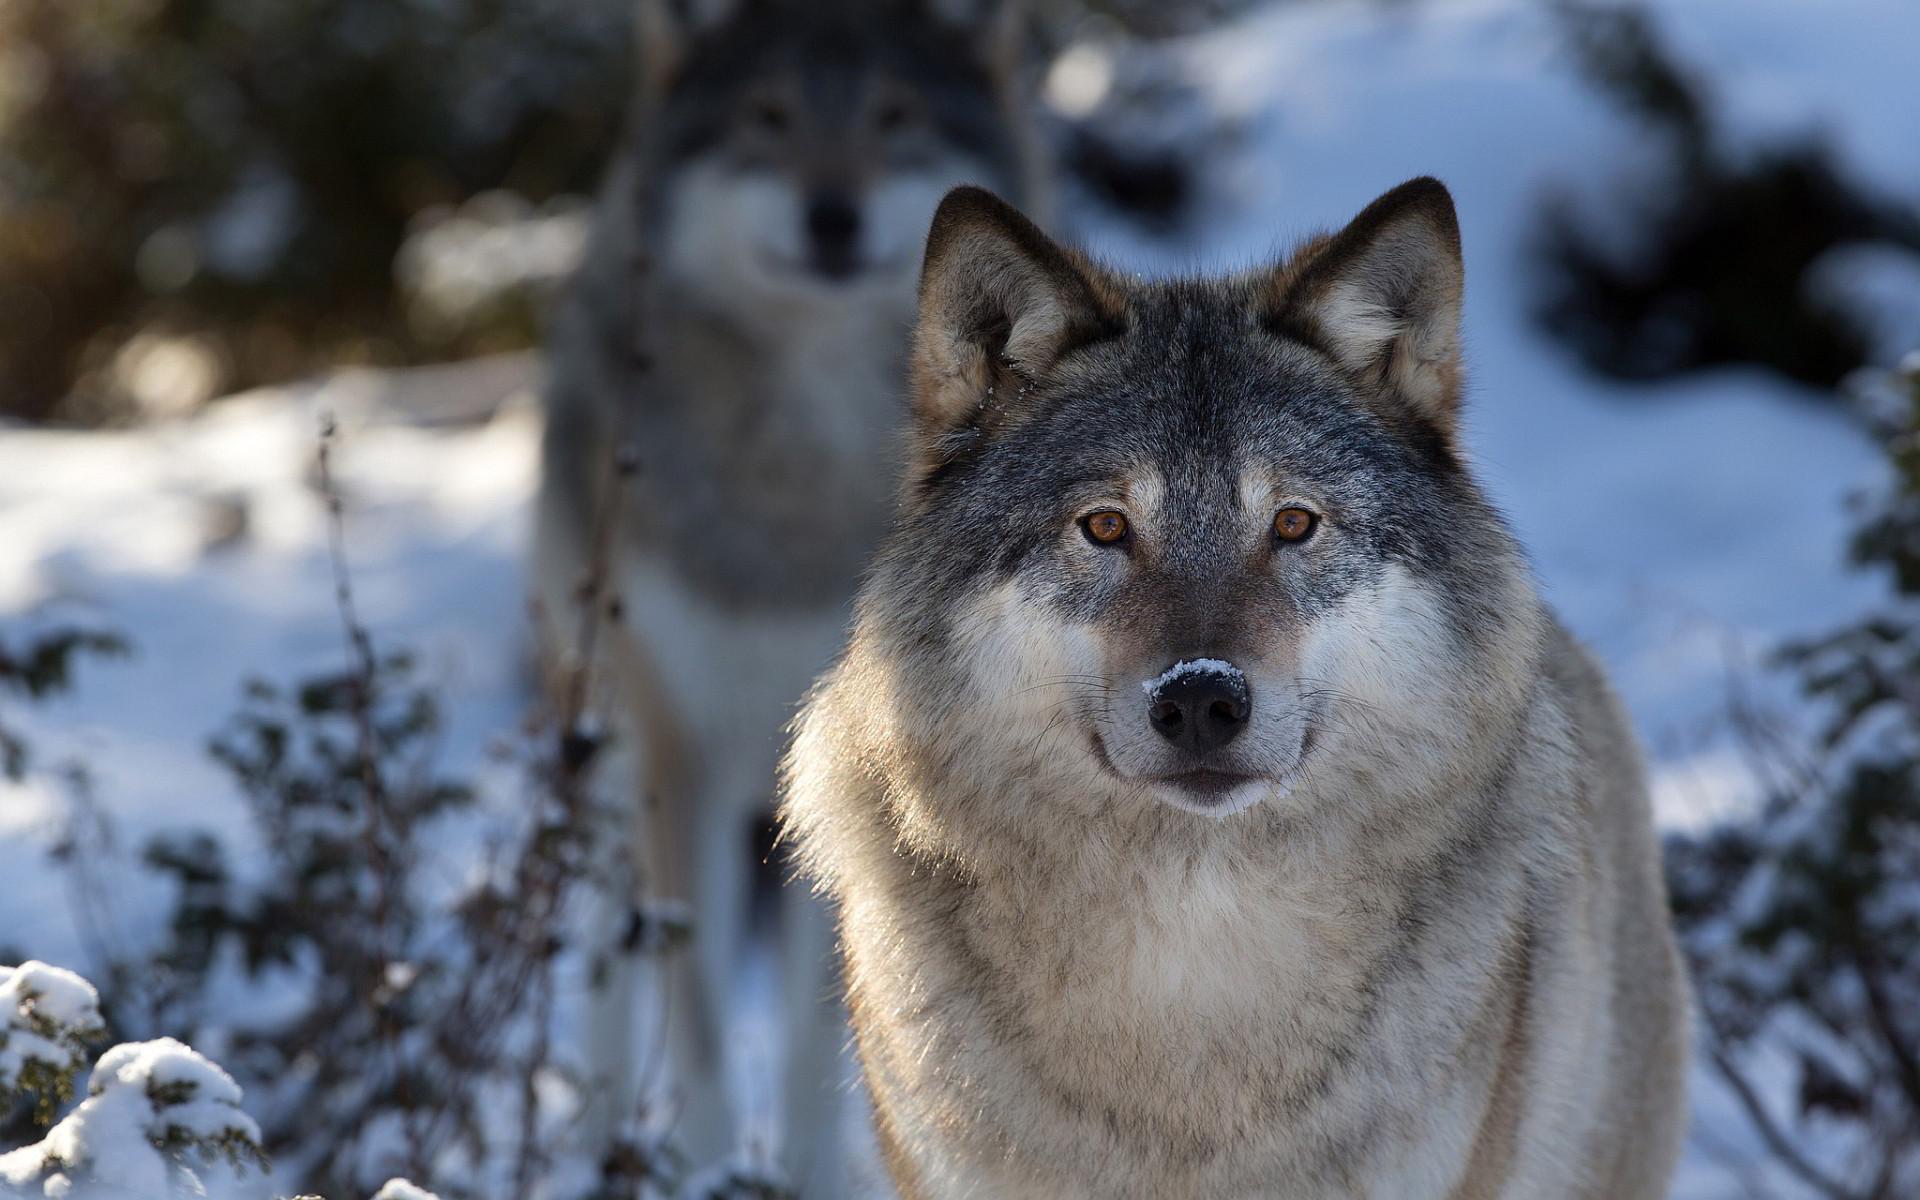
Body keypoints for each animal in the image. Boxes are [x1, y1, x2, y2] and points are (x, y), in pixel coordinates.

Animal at [534, 0, 1045, 1188]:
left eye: (895, 118)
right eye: (767, 119)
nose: (832, 215)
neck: (798, 486)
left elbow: (829, 1025)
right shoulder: (681, 752)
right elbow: (700, 1019)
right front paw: (711, 1171)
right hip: (606, 741)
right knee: (607, 951)